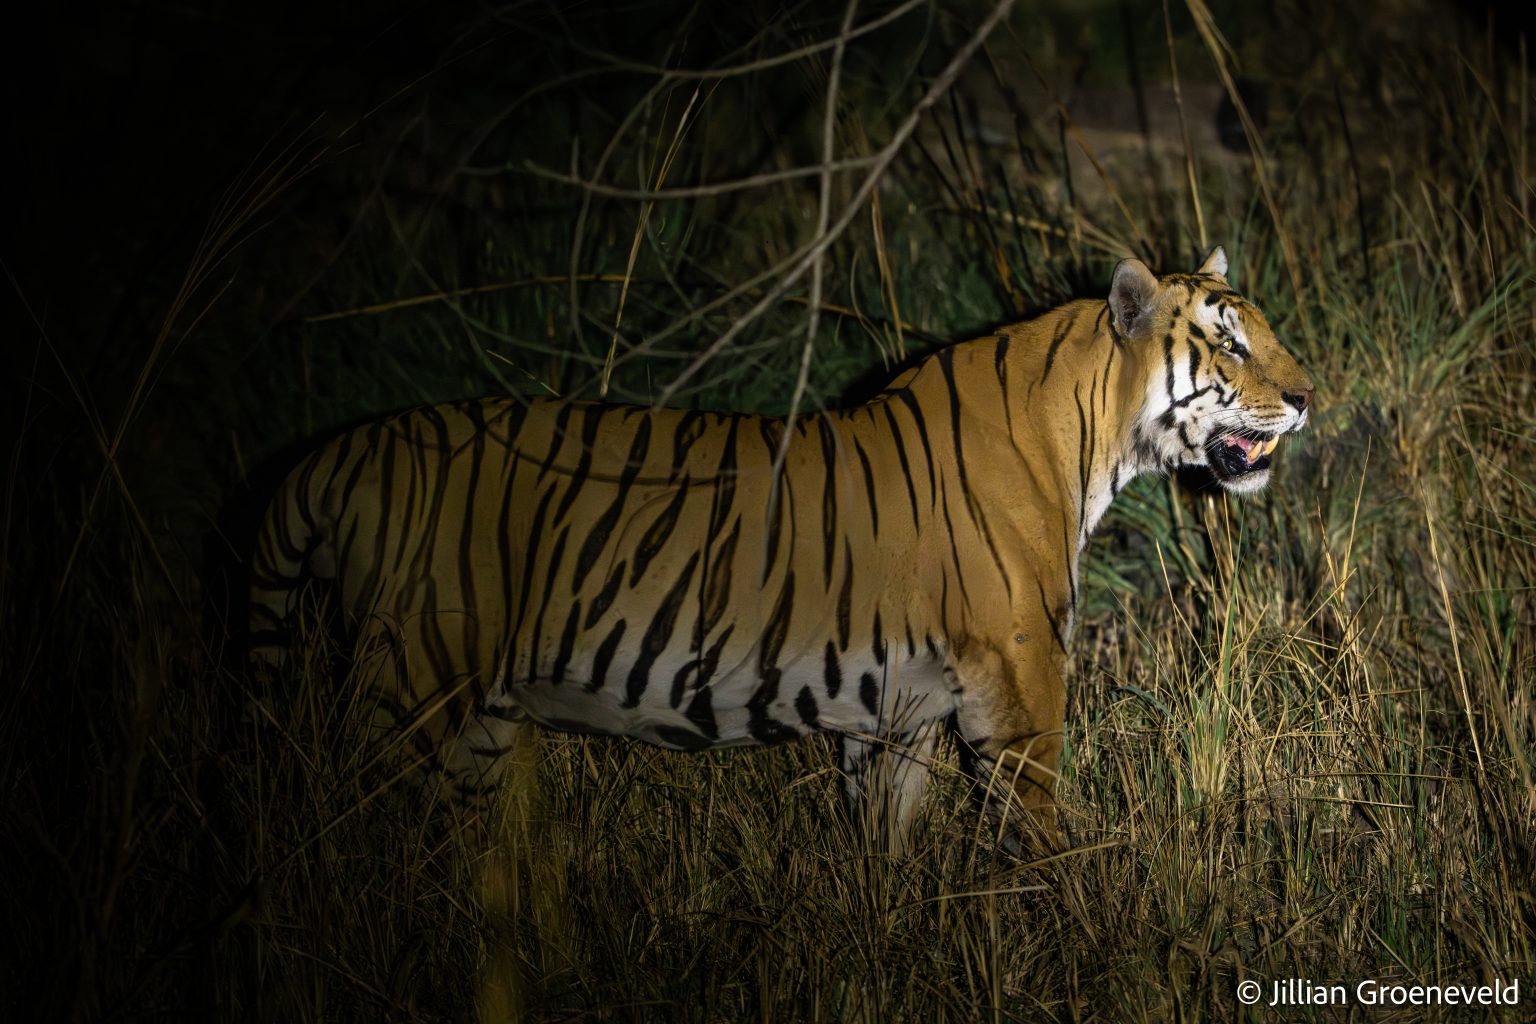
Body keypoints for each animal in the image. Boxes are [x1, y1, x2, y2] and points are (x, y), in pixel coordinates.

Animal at [248, 246, 1312, 853]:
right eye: (1230, 345)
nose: (1308, 397)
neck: (1090, 441)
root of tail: (342, 448)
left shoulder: (899, 718)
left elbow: (884, 859)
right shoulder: (1019, 699)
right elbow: (1055, 854)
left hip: (481, 726)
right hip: (412, 688)